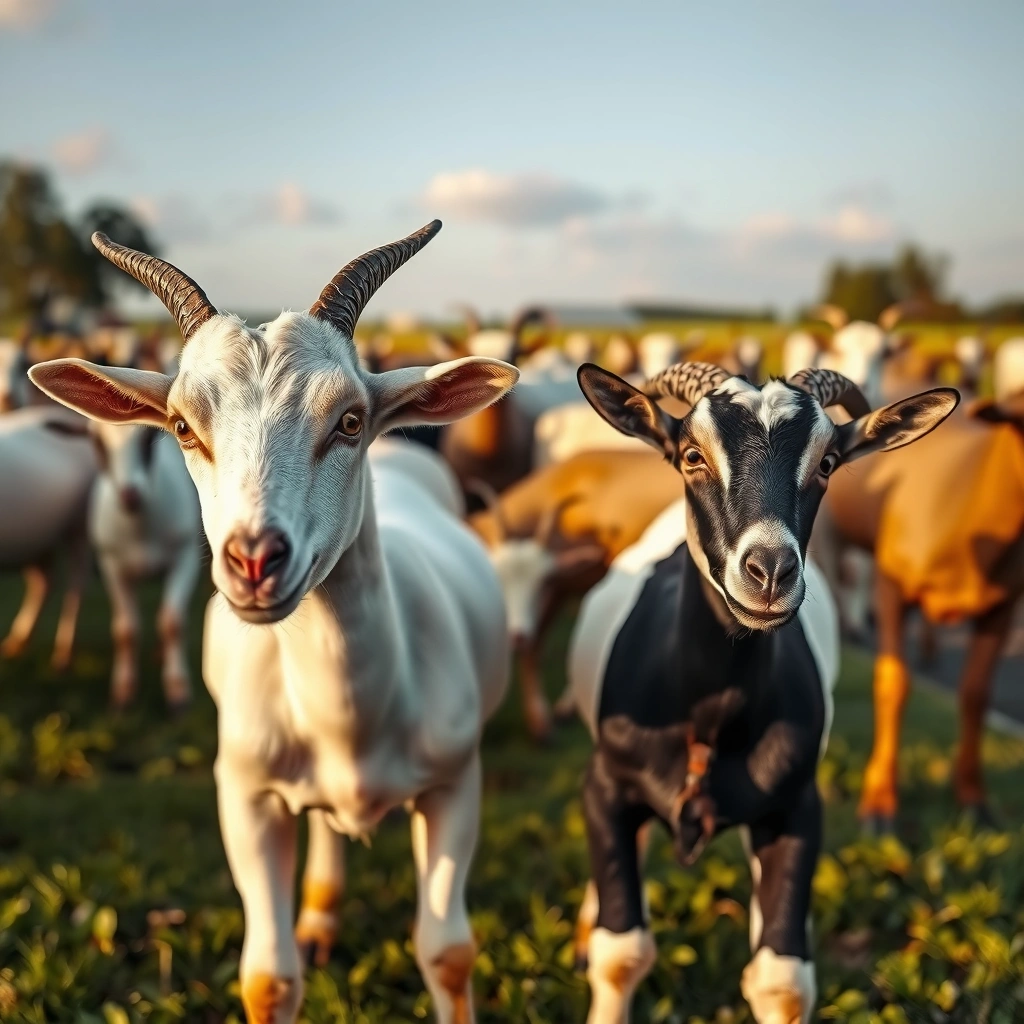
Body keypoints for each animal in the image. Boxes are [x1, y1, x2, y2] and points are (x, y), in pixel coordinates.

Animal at [0, 406, 98, 667]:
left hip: (80, 526)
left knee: (76, 582)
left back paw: (64, 655)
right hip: (35, 538)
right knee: (44, 582)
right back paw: (17, 643)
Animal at [89, 422, 203, 711]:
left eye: (150, 436)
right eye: (96, 440)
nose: (130, 495)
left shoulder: (185, 555)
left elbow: (173, 622)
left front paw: (177, 689)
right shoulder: (111, 565)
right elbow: (126, 630)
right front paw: (124, 691)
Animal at [561, 360, 956, 1024]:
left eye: (828, 463)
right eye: (692, 455)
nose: (770, 571)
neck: (709, 717)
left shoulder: (794, 805)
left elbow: (781, 980)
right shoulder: (607, 787)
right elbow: (621, 953)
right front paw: (599, 940)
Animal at [814, 388, 1024, 831]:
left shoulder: (1004, 604)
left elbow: (976, 693)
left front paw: (974, 801)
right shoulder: (891, 586)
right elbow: (894, 685)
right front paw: (879, 805)